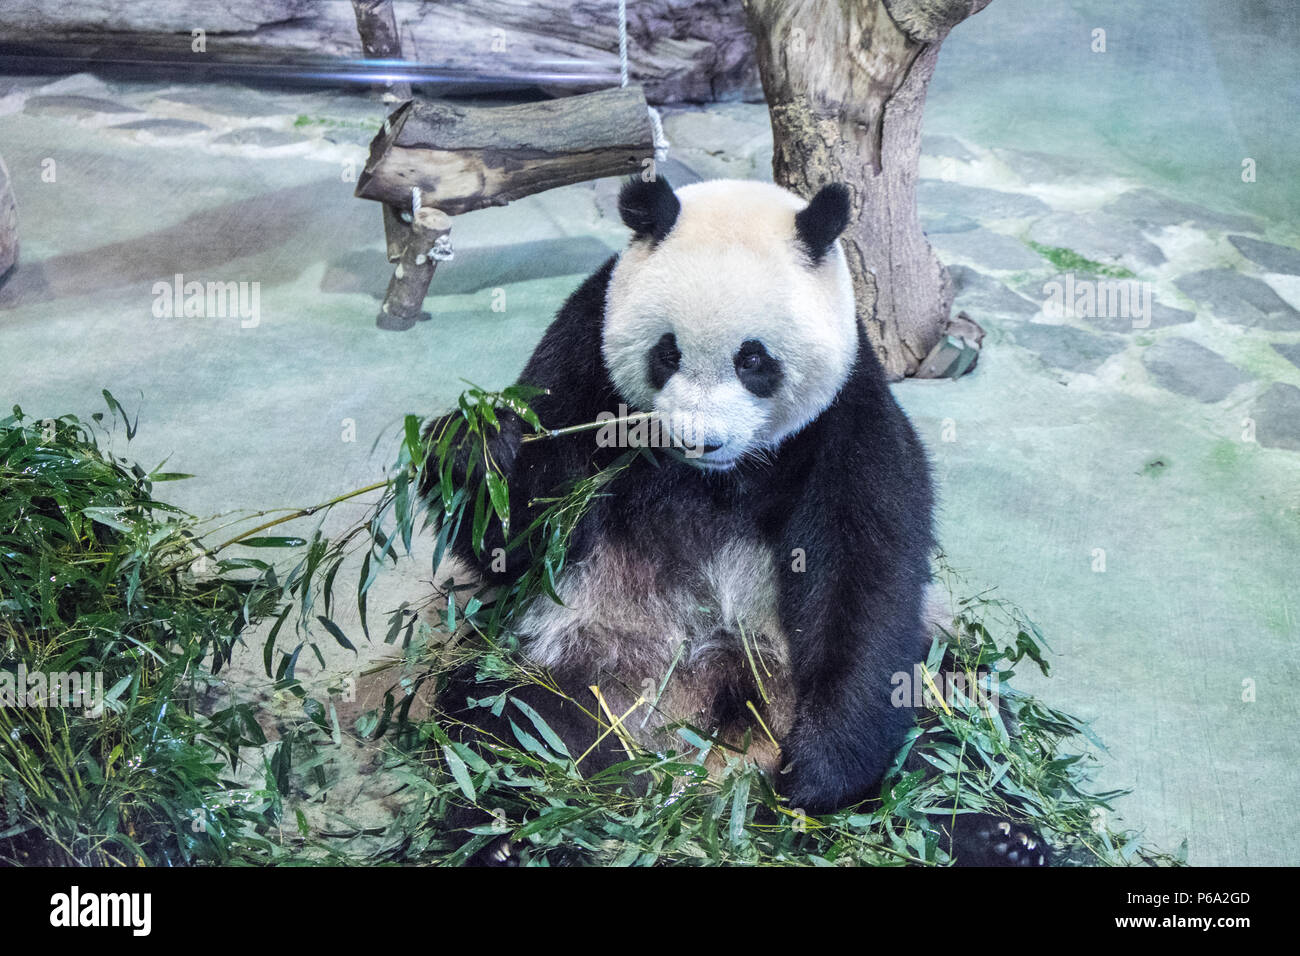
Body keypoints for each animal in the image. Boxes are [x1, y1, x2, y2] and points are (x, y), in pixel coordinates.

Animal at [430, 176, 1048, 866]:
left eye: (753, 360)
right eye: (666, 352)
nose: (699, 440)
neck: (718, 477)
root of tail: (706, 773)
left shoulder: (847, 417)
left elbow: (866, 580)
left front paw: (817, 778)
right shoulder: (580, 363)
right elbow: (522, 542)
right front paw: (475, 448)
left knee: (953, 725)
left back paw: (997, 836)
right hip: (584, 663)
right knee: (501, 724)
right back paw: (516, 839)